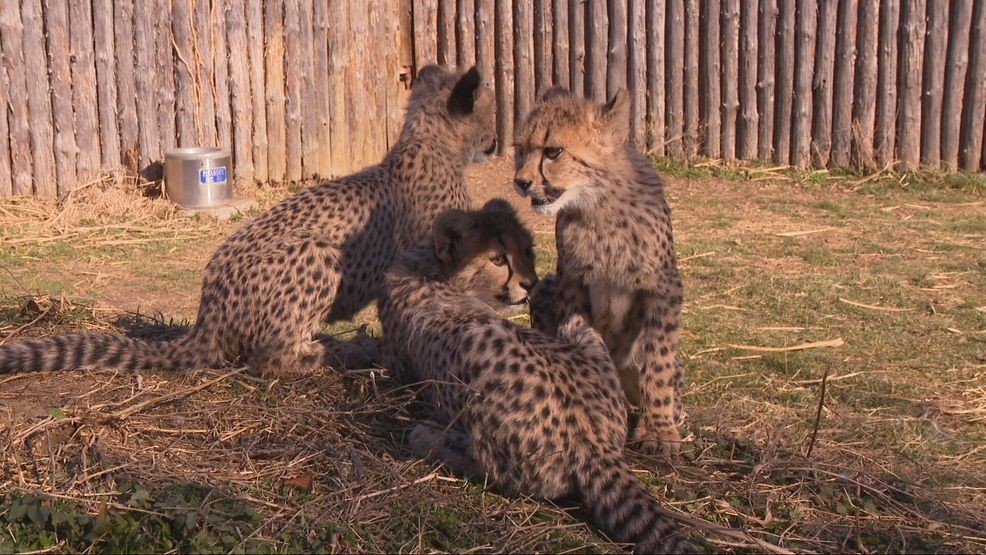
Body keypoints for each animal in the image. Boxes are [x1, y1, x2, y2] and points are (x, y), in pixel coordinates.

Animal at [0, 65, 497, 377]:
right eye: (488, 109)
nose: (496, 142)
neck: (433, 146)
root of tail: (209, 311)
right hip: (318, 254)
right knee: (269, 359)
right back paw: (336, 352)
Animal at [378, 199, 691, 553]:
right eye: (498, 259)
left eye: (528, 250)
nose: (531, 283)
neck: (433, 271)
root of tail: (596, 442)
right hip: (576, 327)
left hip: (478, 337)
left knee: (491, 466)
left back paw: (427, 435)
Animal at [513, 86, 686, 457]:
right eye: (520, 150)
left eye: (552, 151)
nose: (521, 182)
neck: (598, 206)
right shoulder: (570, 281)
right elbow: (578, 333)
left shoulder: (663, 287)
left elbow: (659, 360)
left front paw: (659, 429)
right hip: (545, 288)